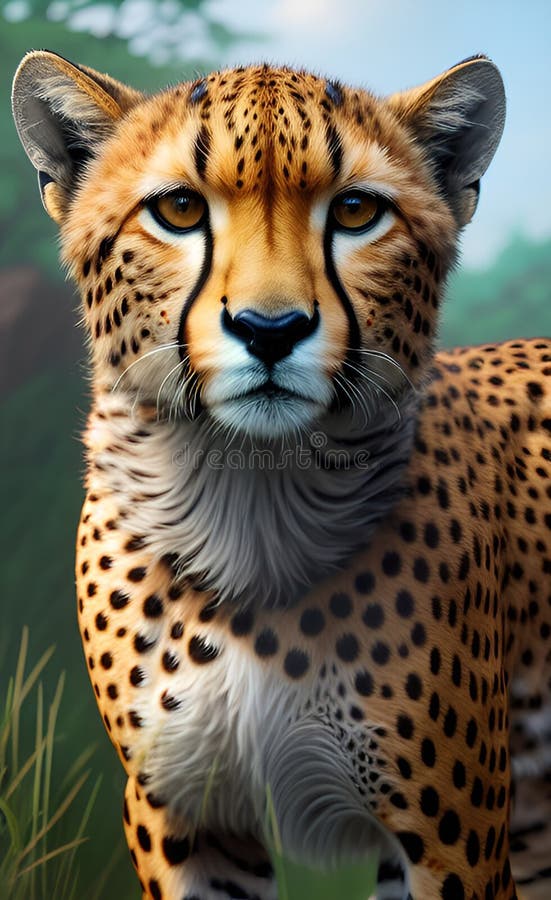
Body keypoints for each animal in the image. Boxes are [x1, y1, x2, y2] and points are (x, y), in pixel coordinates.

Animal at [12, 49, 551, 900]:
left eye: (357, 212)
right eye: (178, 209)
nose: (270, 329)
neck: (253, 499)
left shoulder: (451, 838)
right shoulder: (184, 817)